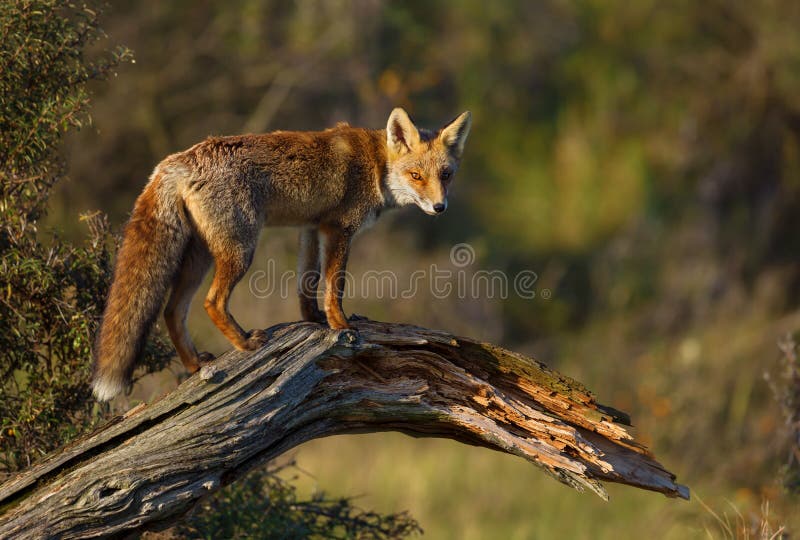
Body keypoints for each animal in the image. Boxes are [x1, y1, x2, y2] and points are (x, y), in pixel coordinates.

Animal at [91, 107, 472, 401]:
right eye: (416, 175)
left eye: (446, 175)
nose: (439, 207)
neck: (375, 164)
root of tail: (175, 160)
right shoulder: (339, 229)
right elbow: (335, 286)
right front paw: (341, 326)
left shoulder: (311, 229)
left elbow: (309, 283)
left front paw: (313, 320)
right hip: (240, 249)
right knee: (212, 303)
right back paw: (245, 344)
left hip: (200, 258)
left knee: (172, 311)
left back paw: (196, 364)